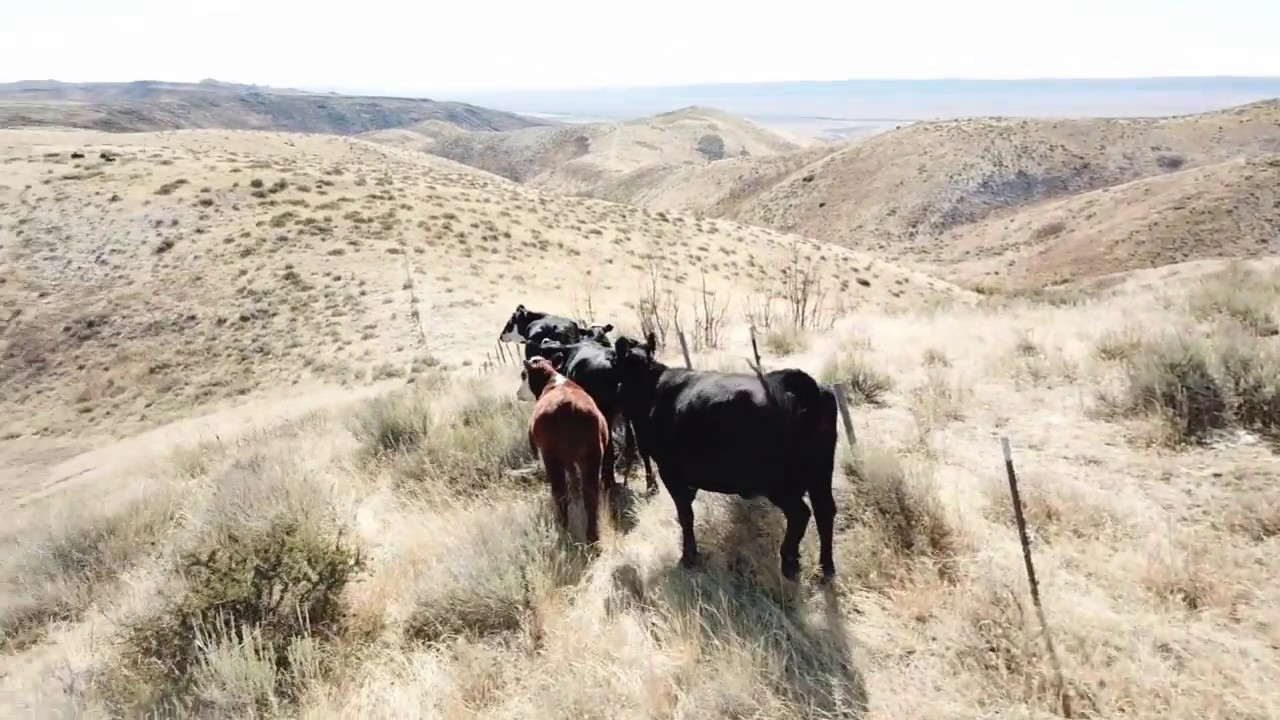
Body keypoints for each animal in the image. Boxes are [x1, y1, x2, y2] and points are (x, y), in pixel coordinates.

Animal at [522, 356, 609, 545]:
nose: (519, 393)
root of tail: (568, 404)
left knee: (560, 493)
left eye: (523, 374)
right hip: (592, 455)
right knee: (591, 493)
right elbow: (574, 478)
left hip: (552, 458)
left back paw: (563, 528)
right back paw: (592, 536)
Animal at [525, 335, 657, 494]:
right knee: (641, 447)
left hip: (608, 416)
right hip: (637, 414)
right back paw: (651, 486)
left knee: (610, 448)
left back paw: (608, 481)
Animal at [612, 331, 840, 583]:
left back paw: (790, 565)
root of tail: (794, 382)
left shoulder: (670, 471)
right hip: (820, 473)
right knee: (825, 511)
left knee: (801, 514)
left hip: (780, 483)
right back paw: (826, 568)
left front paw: (688, 558)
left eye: (616, 362)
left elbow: (685, 514)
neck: (652, 389)